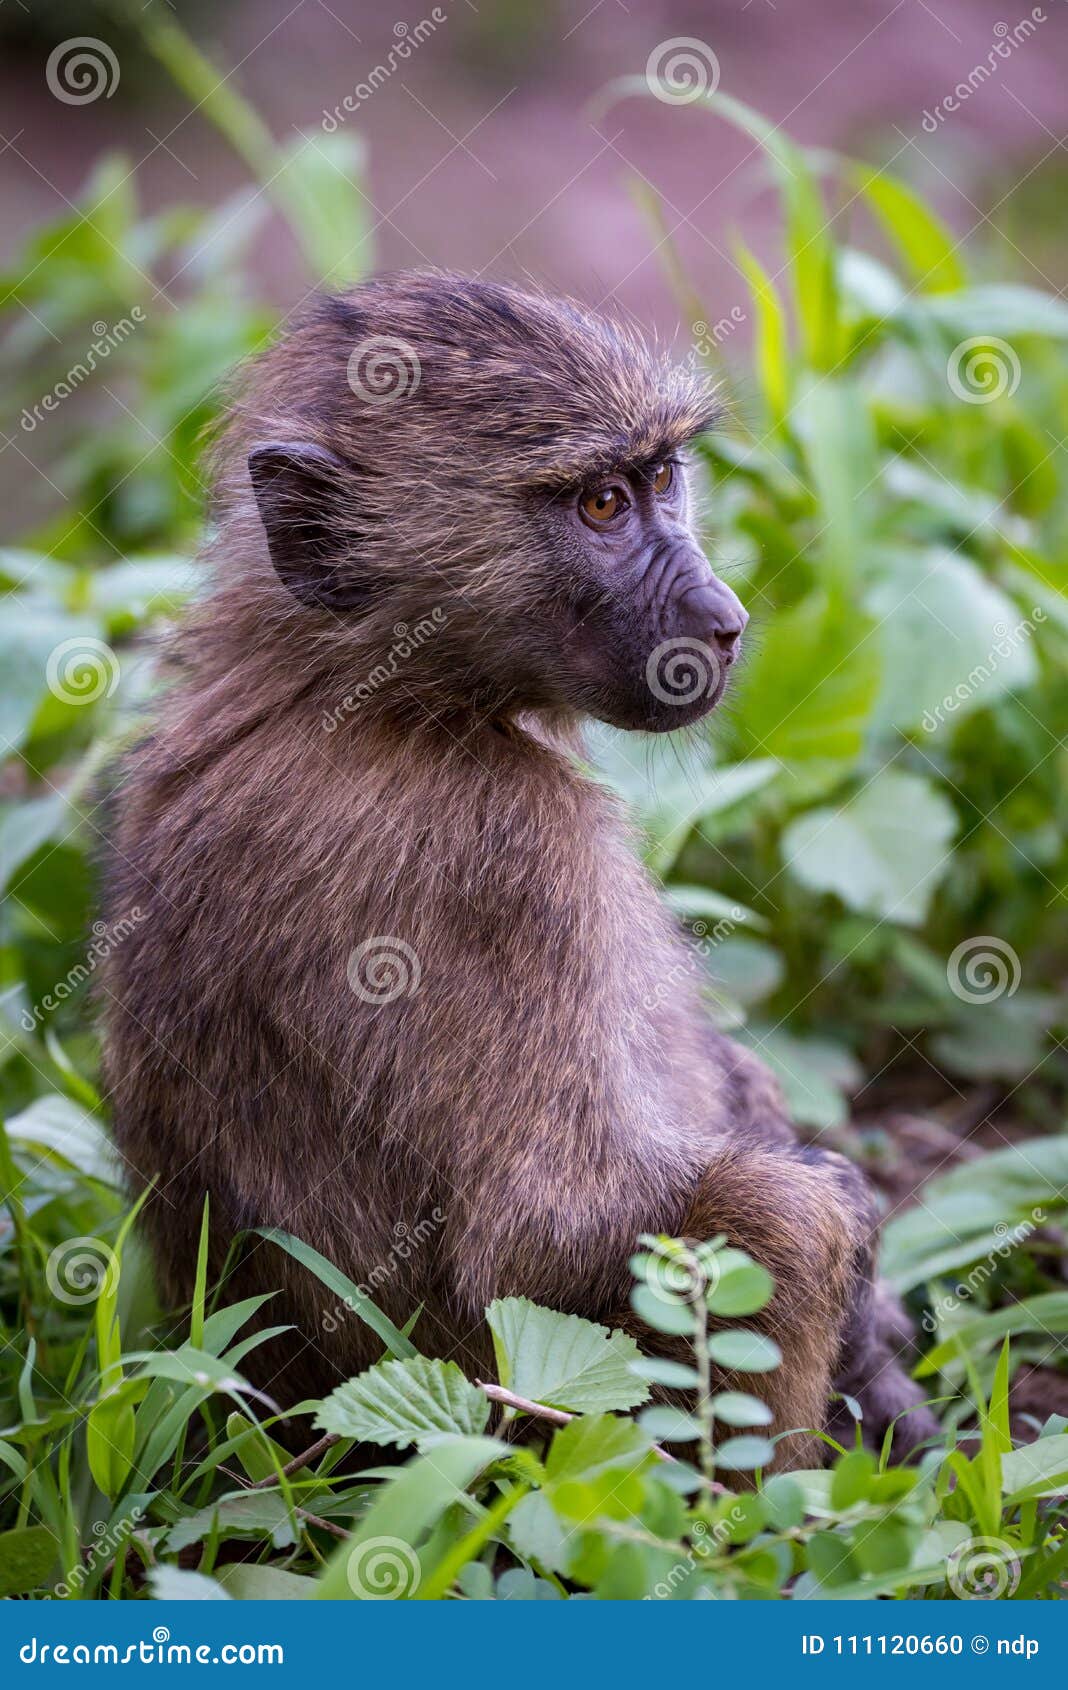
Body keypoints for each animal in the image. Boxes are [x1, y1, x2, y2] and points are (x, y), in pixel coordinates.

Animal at [99, 271, 936, 1469]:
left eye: (661, 481)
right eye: (600, 507)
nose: (724, 622)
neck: (355, 687)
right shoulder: (507, 856)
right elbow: (544, 1242)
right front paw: (852, 1241)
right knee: (765, 1220)